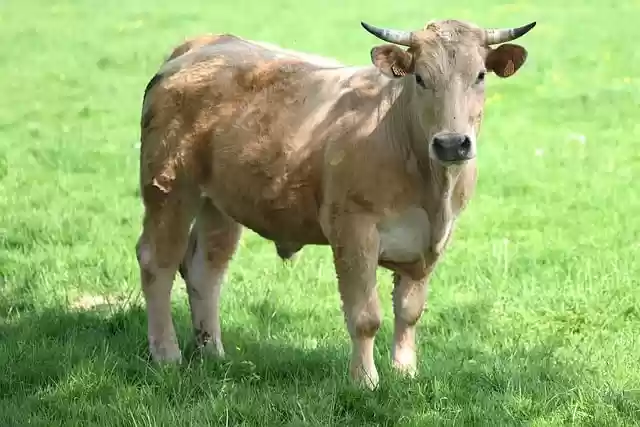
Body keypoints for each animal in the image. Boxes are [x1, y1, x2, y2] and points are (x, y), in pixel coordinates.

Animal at [136, 18, 536, 389]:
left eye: (480, 75)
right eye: (420, 78)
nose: (452, 143)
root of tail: (200, 44)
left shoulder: (432, 242)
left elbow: (410, 311)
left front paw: (405, 372)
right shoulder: (353, 230)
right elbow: (365, 316)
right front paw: (365, 381)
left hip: (219, 202)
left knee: (205, 269)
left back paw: (213, 353)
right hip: (170, 187)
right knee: (158, 262)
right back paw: (167, 354)